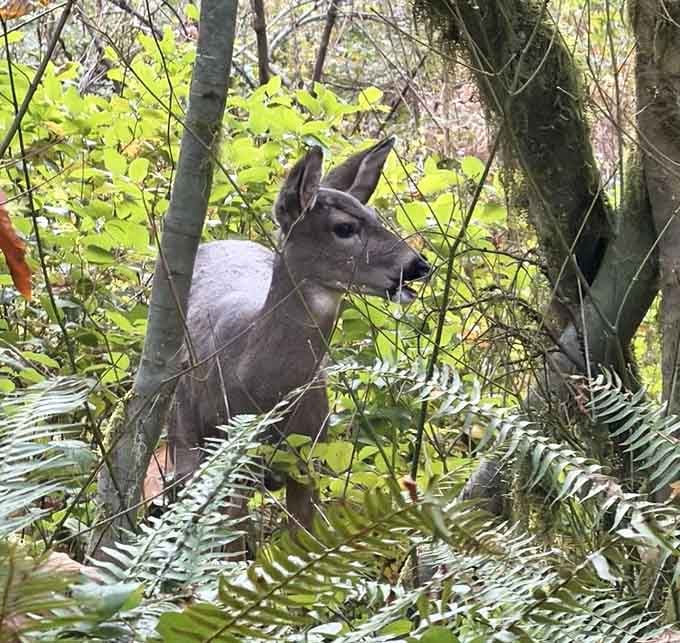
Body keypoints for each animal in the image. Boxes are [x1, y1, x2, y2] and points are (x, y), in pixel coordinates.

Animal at [168, 137, 430, 529]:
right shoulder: (233, 467)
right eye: (344, 228)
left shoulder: (309, 460)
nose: (418, 265)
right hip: (182, 434)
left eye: (375, 216)